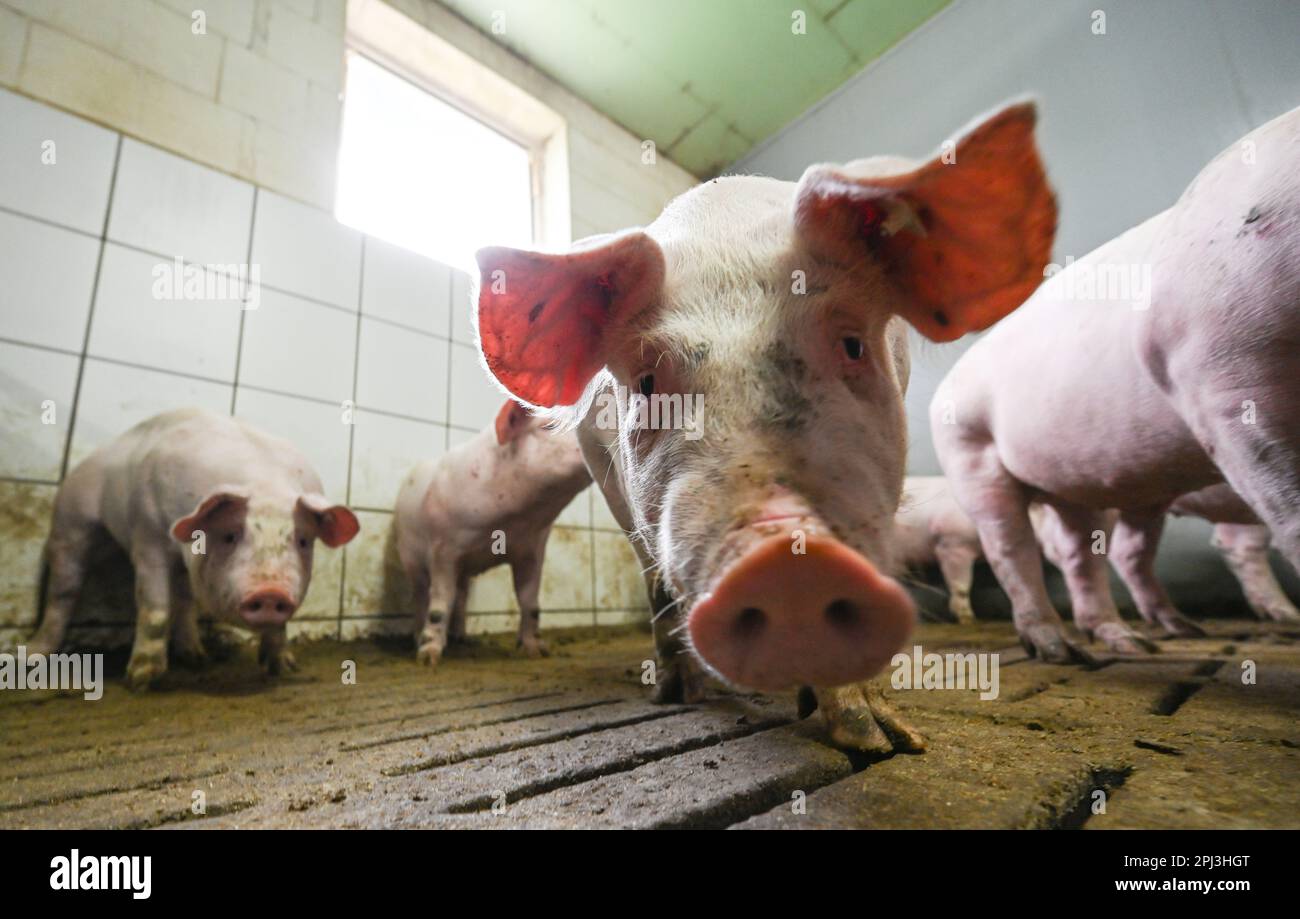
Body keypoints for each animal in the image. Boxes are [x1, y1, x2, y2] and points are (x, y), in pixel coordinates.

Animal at [26, 408, 360, 688]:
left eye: (302, 540)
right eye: (230, 535)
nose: (270, 593)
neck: (263, 482)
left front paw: (286, 668)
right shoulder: (148, 537)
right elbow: (155, 609)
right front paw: (140, 680)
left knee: (185, 598)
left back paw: (198, 659)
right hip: (69, 521)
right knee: (63, 591)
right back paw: (31, 657)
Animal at [392, 400, 592, 665]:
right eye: (548, 426)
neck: (510, 522)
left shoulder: (532, 549)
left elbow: (530, 600)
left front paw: (537, 651)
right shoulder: (443, 547)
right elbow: (439, 603)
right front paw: (428, 658)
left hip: (463, 572)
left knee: (462, 595)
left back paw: (462, 639)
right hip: (409, 557)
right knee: (422, 596)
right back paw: (419, 639)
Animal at [932, 105, 1300, 662]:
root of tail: (942, 387)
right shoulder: (1223, 370)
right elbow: (1292, 514)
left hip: (1087, 483)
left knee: (1095, 552)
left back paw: (1145, 640)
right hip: (969, 452)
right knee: (1009, 547)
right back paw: (1057, 649)